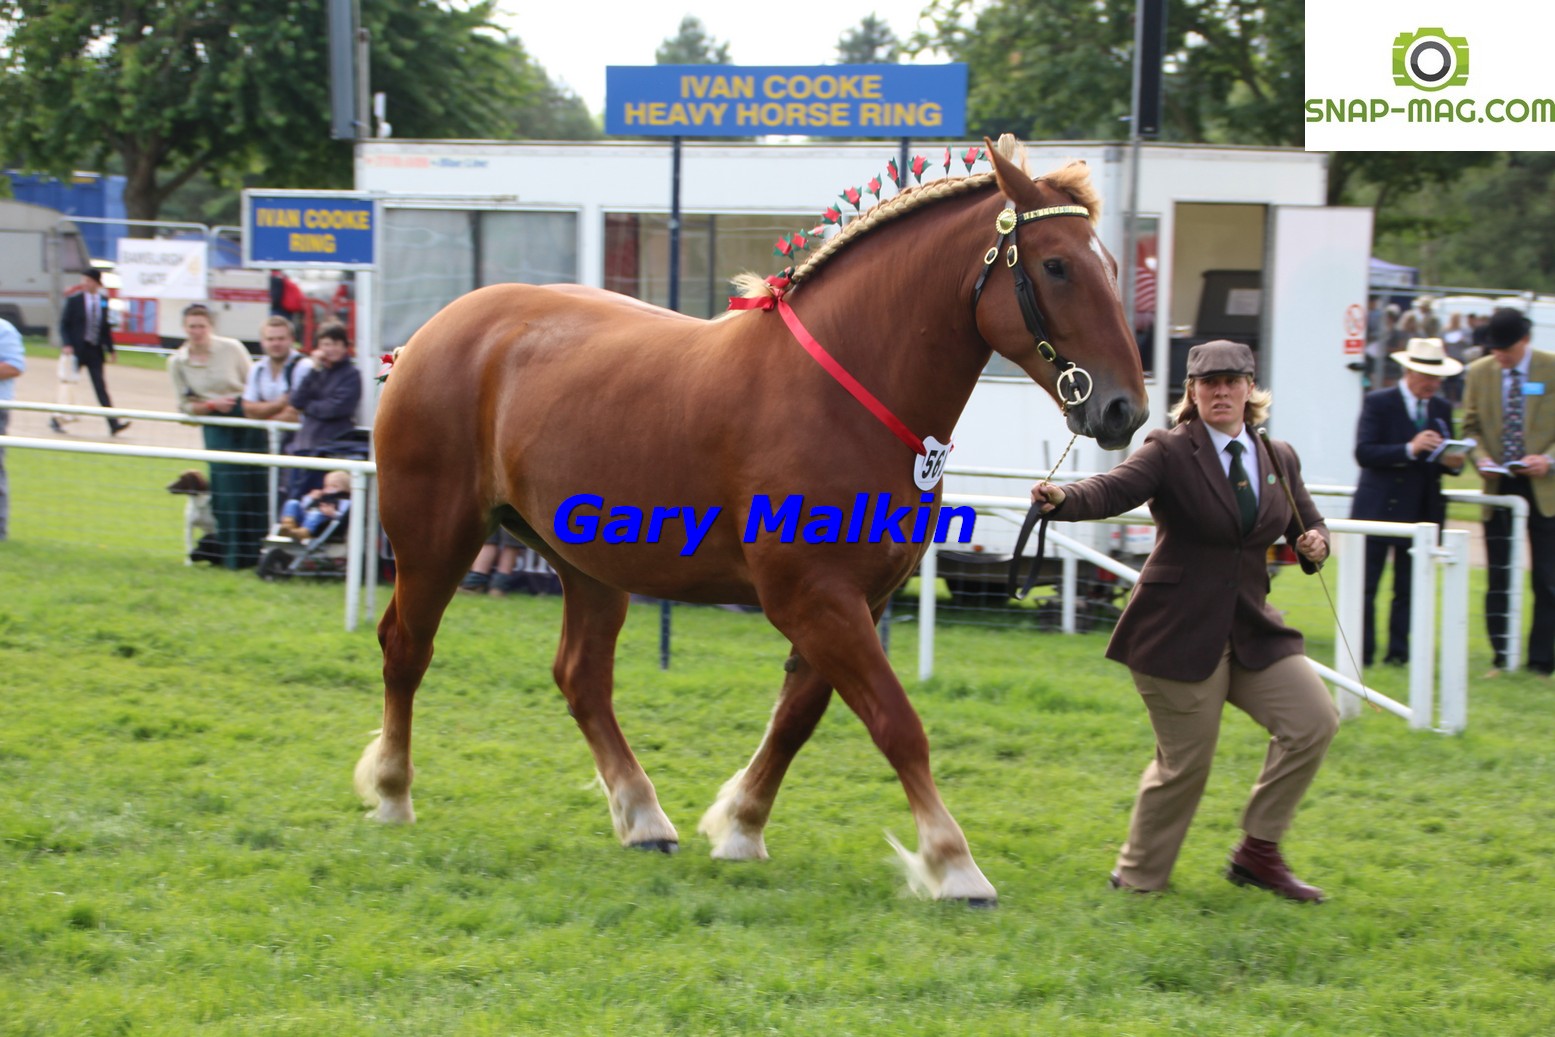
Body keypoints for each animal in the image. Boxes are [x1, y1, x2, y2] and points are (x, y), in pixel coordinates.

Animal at [356, 135, 1149, 904]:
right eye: (1056, 266)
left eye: (1113, 265)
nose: (1124, 409)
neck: (845, 395)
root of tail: (428, 335)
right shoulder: (815, 597)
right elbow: (897, 724)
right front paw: (952, 862)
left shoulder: (854, 600)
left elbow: (797, 718)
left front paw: (741, 825)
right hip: (436, 539)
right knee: (406, 648)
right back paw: (393, 792)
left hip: (586, 566)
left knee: (581, 678)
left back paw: (643, 816)